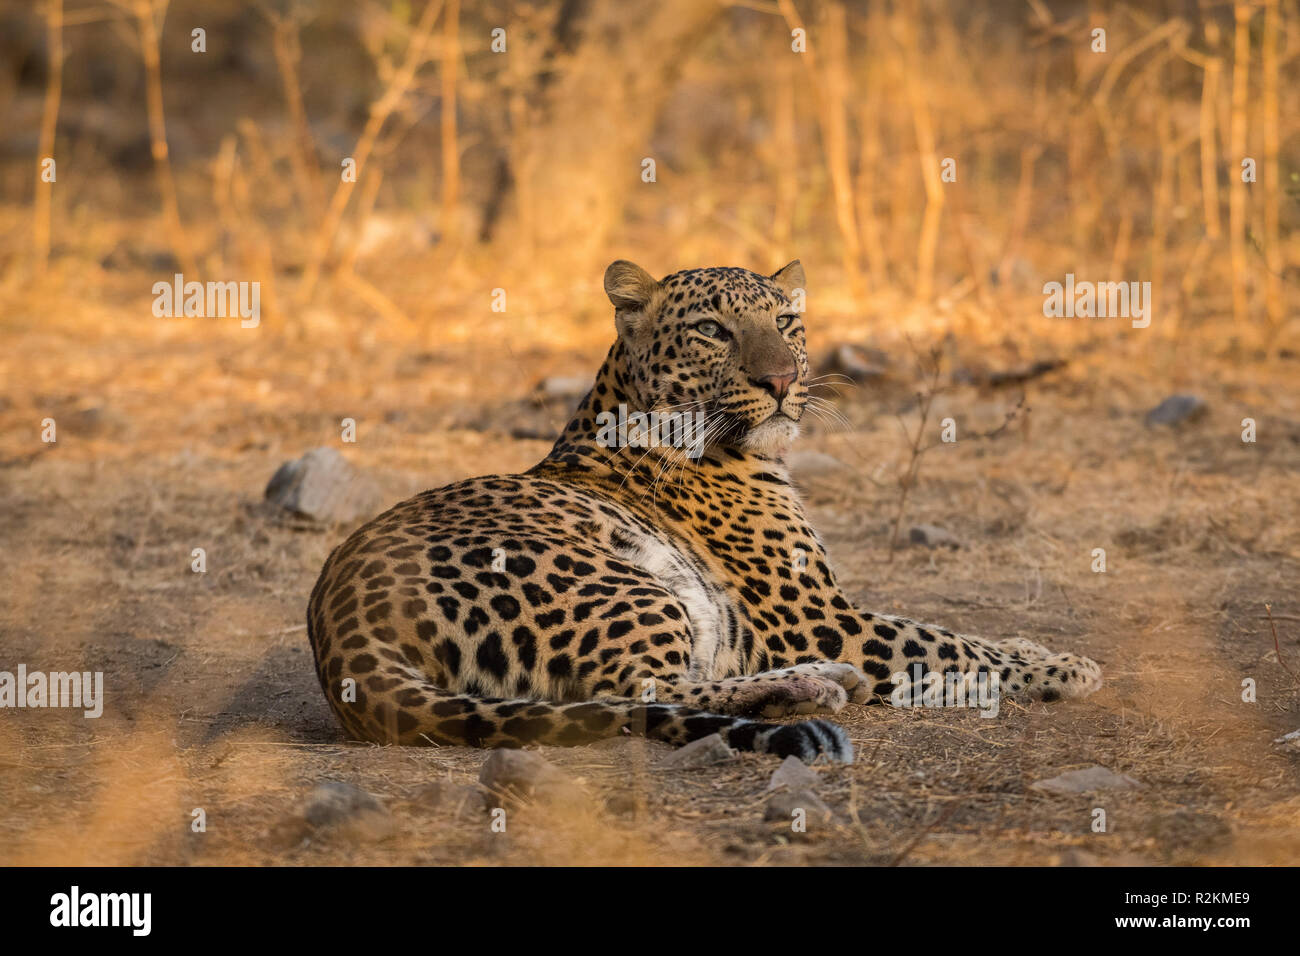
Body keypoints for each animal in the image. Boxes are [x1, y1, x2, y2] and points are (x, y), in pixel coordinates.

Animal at [306, 259, 1102, 763]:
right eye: (713, 331)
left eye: (787, 321)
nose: (780, 380)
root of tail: (341, 631)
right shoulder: (824, 617)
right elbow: (946, 643)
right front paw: (1068, 667)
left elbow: (957, 630)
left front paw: (1037, 649)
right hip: (621, 583)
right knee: (639, 691)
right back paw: (814, 683)